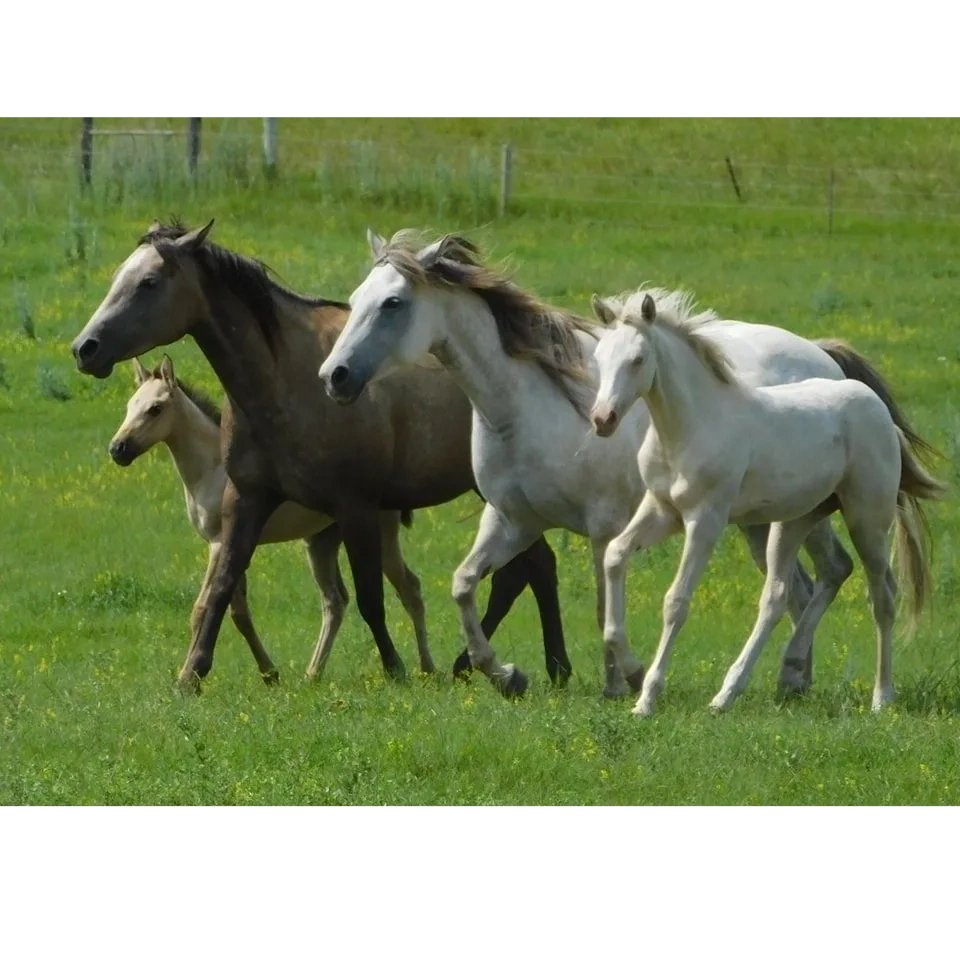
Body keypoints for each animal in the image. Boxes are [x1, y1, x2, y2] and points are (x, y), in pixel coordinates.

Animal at [110, 353, 434, 681]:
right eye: (129, 405)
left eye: (155, 408)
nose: (118, 449)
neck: (213, 470)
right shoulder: (234, 544)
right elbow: (238, 612)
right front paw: (270, 675)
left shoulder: (218, 543)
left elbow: (202, 608)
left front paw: (187, 674)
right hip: (321, 541)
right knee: (335, 600)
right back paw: (312, 674)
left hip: (379, 535)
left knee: (409, 588)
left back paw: (427, 668)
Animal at [317, 228, 888, 700]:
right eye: (355, 300)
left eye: (393, 303)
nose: (334, 376)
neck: (526, 406)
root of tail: (821, 355)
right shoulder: (513, 520)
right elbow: (463, 585)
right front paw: (505, 674)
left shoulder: (602, 525)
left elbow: (599, 605)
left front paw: (624, 679)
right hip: (762, 520)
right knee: (811, 583)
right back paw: (790, 680)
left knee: (828, 574)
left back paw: (787, 677)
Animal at [588, 289, 945, 716]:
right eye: (599, 358)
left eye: (638, 359)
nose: (602, 419)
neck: (692, 426)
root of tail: (874, 404)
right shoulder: (661, 511)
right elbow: (614, 555)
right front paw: (631, 667)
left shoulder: (705, 520)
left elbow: (677, 600)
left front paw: (647, 697)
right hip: (794, 521)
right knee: (779, 596)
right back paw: (733, 692)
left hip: (867, 520)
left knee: (882, 596)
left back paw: (881, 696)